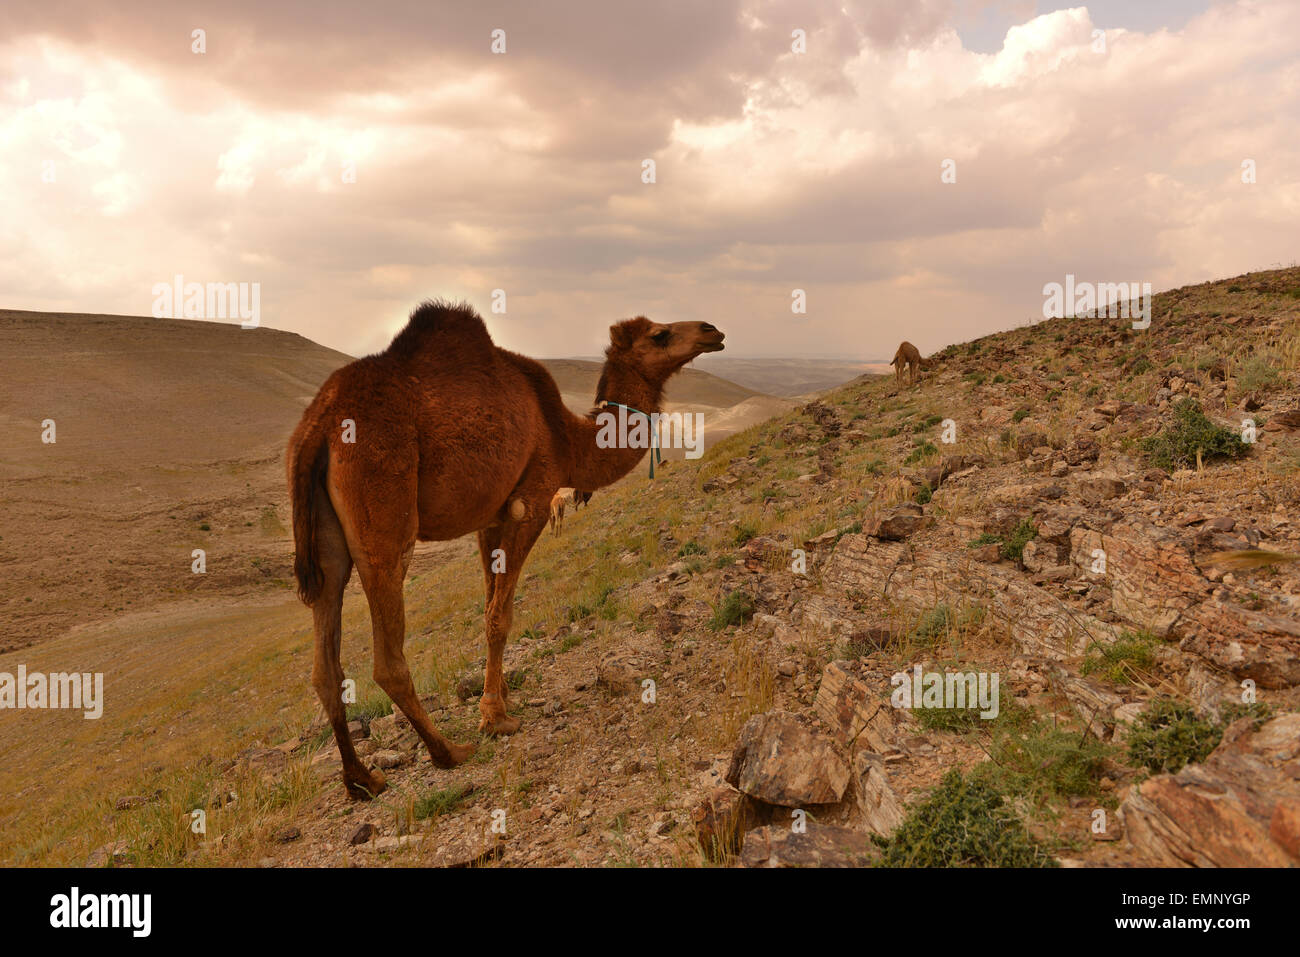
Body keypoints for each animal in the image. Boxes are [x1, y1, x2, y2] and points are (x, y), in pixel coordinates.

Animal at [286, 300, 724, 799]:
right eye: (660, 335)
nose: (712, 330)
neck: (566, 436)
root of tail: (318, 425)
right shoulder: (530, 502)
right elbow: (501, 615)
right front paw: (495, 717)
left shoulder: (489, 519)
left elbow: (488, 602)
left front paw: (499, 695)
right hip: (382, 508)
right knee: (387, 655)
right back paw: (447, 752)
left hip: (326, 535)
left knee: (325, 658)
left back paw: (361, 779)